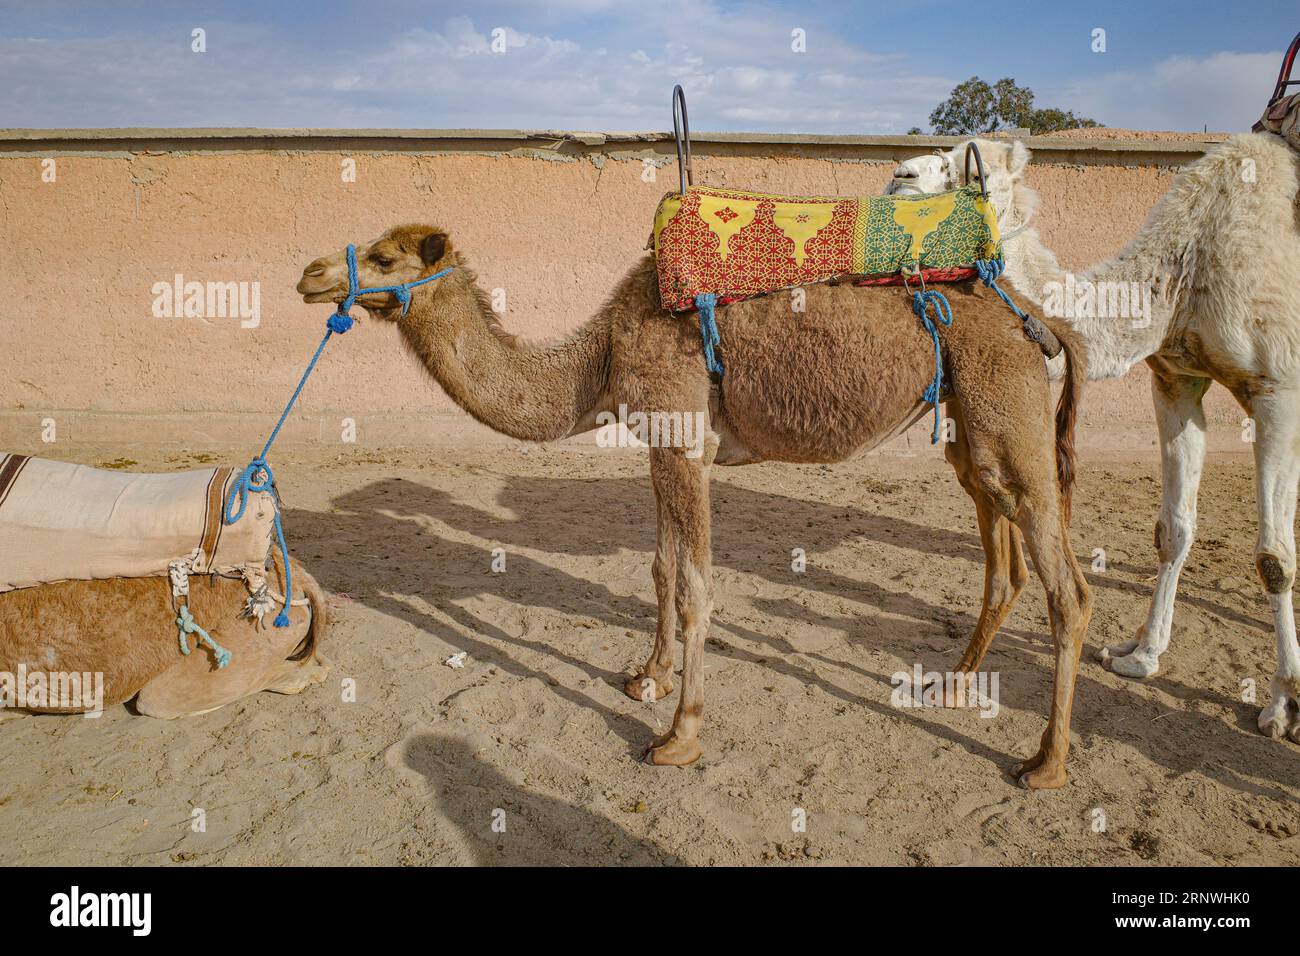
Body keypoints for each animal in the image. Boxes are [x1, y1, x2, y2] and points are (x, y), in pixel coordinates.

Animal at [297, 222, 1093, 788]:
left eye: (386, 257)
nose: (310, 273)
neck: (601, 357)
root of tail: (1035, 317)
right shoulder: (660, 443)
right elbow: (659, 568)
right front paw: (647, 677)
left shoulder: (687, 444)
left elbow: (696, 589)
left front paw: (679, 736)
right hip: (972, 426)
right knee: (1006, 561)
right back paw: (954, 686)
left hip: (1007, 408)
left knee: (1067, 589)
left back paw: (1046, 763)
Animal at [887, 133, 1300, 742]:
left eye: (968, 166)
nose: (900, 177)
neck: (1183, 273)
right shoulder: (1175, 380)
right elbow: (1173, 529)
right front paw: (1141, 653)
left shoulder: (1278, 390)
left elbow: (1273, 557)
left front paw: (1282, 704)